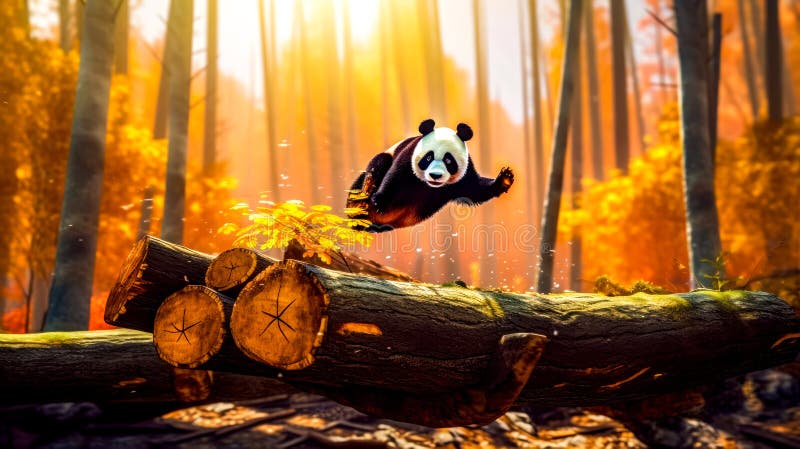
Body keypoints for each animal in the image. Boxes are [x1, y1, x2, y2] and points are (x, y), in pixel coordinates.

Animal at [346, 119, 514, 232]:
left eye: (448, 160)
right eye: (428, 158)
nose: (435, 175)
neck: (426, 186)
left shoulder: (464, 175)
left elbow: (475, 189)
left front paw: (504, 179)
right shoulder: (408, 156)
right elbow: (394, 177)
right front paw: (380, 201)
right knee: (378, 165)